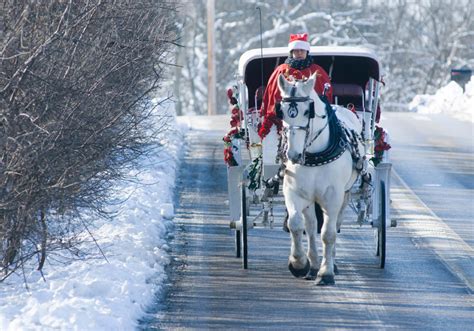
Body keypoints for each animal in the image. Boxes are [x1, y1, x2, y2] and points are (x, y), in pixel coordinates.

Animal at [276, 72, 362, 286]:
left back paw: (330, 264)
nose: (293, 155)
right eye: (281, 111)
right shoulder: (295, 192)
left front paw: (326, 273)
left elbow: (328, 234)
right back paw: (313, 265)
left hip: (344, 194)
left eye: (308, 112)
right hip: (310, 198)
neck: (314, 155)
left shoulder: (333, 197)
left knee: (335, 225)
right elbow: (296, 224)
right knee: (310, 225)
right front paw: (299, 263)